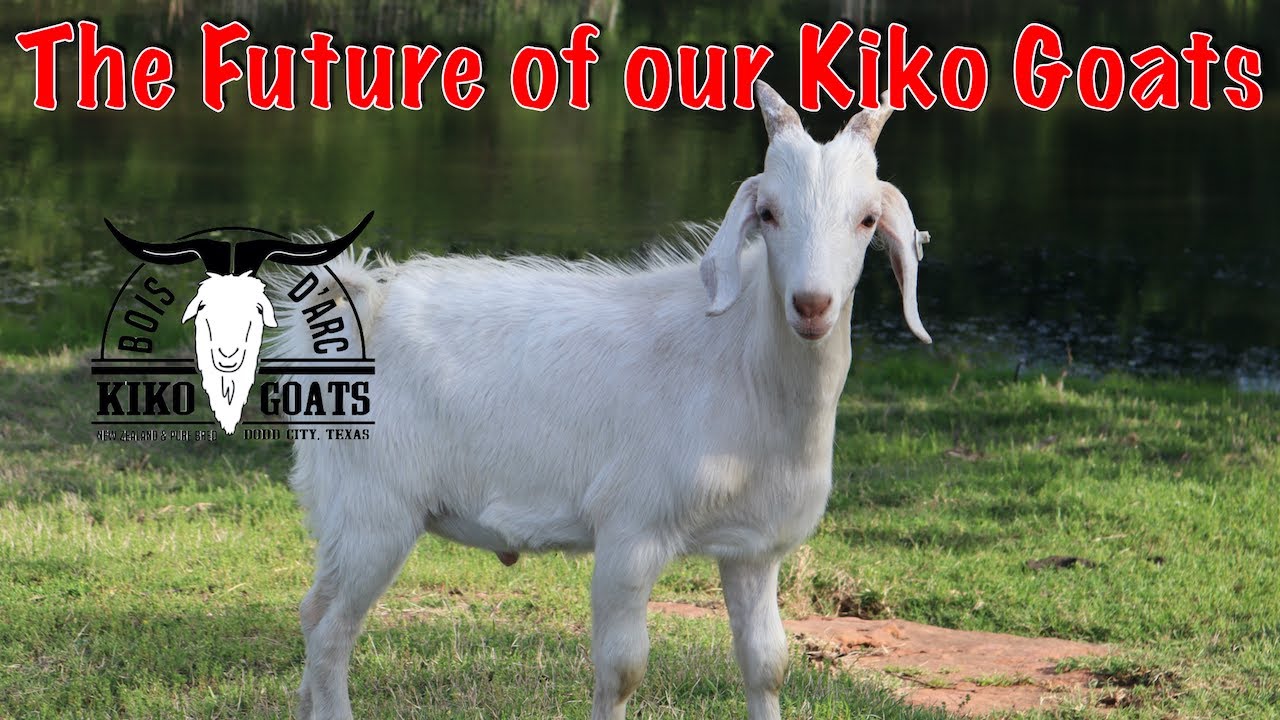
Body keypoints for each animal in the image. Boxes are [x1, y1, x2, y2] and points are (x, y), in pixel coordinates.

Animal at [270, 81, 932, 720]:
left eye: (867, 219)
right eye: (768, 213)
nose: (812, 305)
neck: (740, 368)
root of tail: (362, 307)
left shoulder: (755, 549)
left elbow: (766, 665)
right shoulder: (629, 531)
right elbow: (622, 670)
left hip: (346, 514)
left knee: (312, 610)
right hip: (374, 509)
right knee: (331, 632)